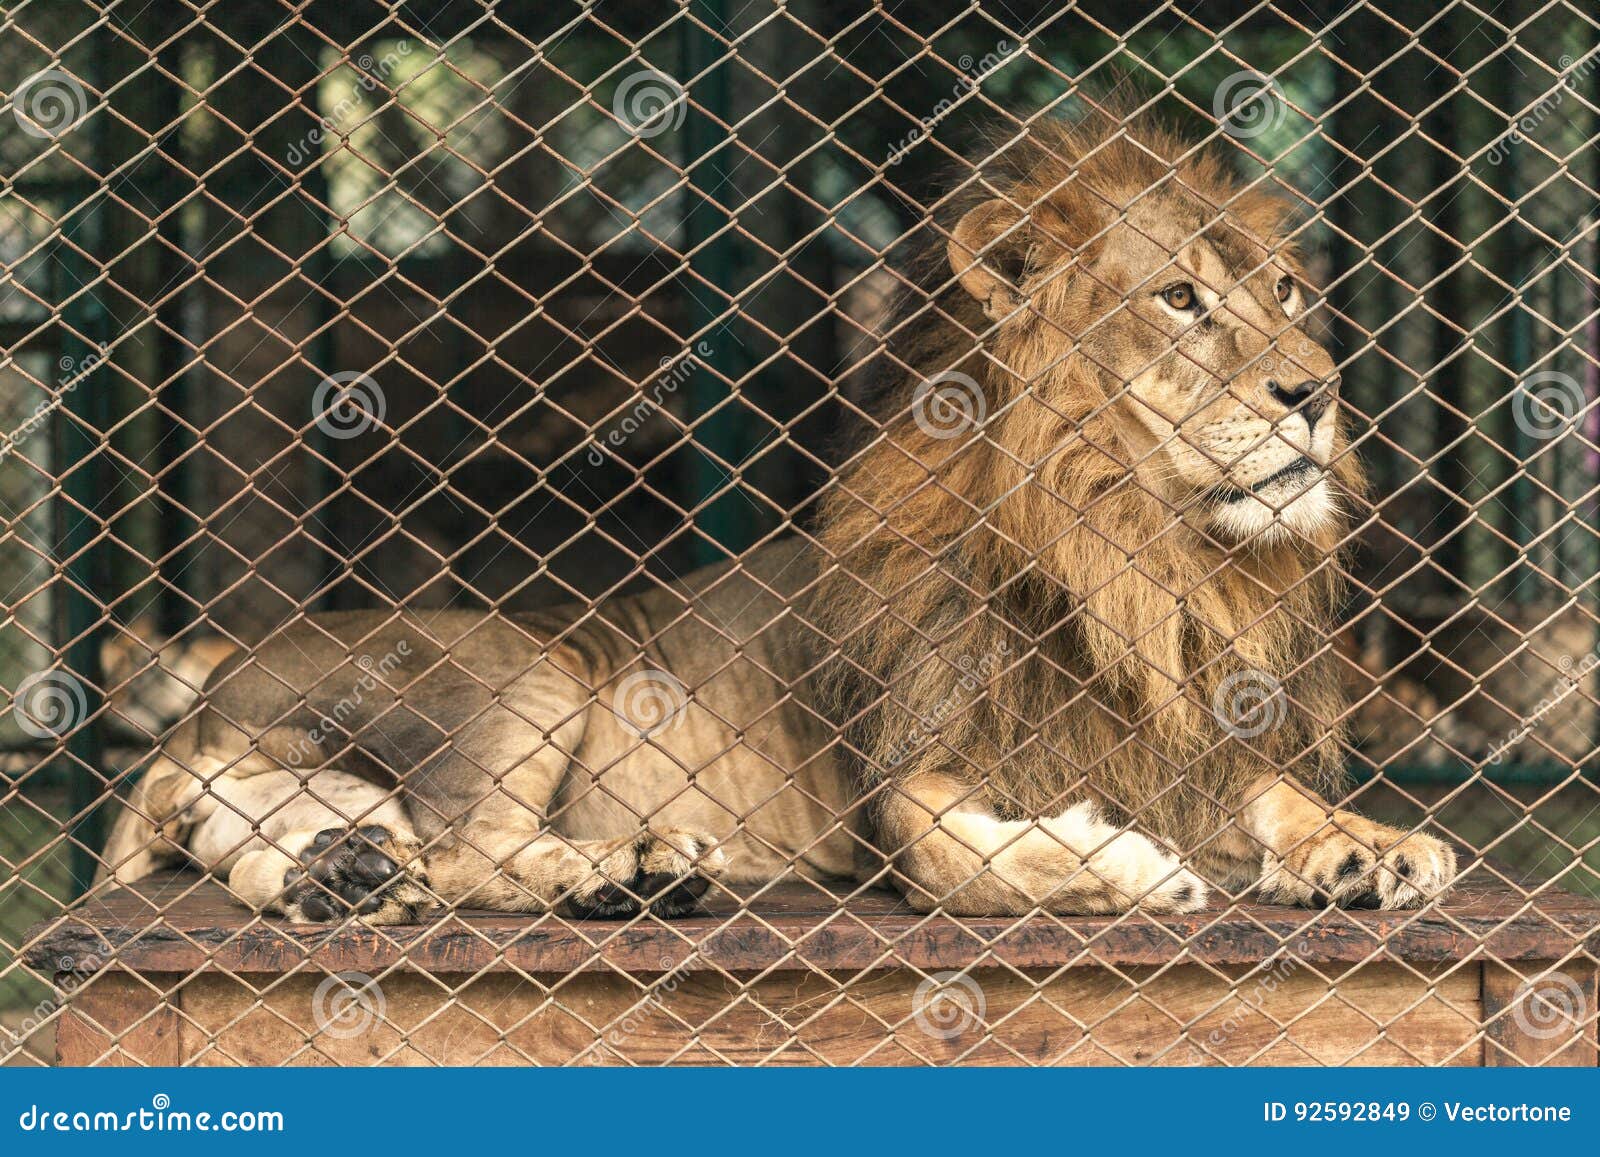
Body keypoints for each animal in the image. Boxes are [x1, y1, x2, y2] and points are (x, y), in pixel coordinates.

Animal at [100, 106, 1456, 923]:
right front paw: (1117, 862)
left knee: (316, 854)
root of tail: (207, 703)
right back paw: (619, 869)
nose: (1319, 389)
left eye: (1285, 291)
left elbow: (1276, 795)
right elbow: (974, 859)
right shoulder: (901, 783)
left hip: (310, 795)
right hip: (522, 664)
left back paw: (379, 879)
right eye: (1179, 298)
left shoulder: (1185, 745)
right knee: (463, 847)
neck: (1129, 545)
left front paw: (1369, 842)